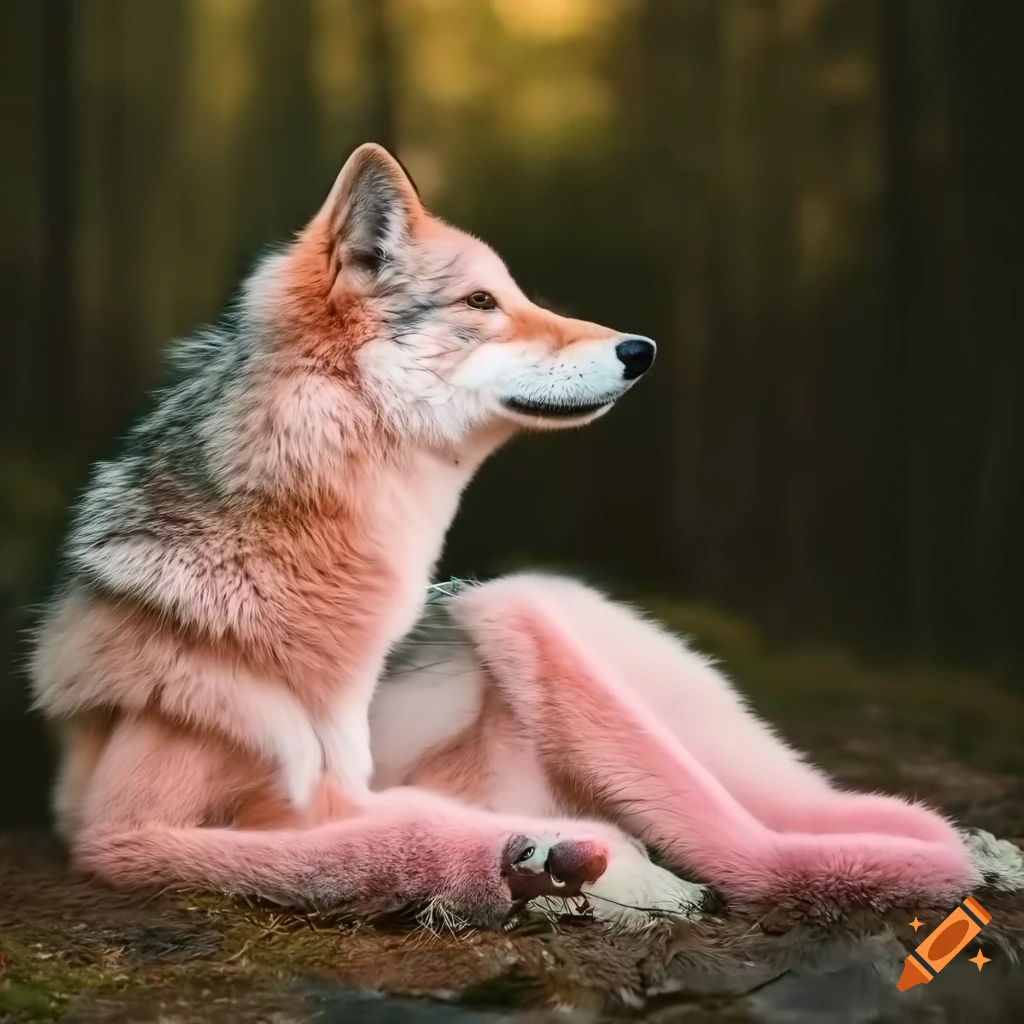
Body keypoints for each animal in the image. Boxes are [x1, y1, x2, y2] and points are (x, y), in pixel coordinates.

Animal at [30, 144, 1010, 931]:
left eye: (520, 294)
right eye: (481, 301)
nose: (642, 349)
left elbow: (379, 828)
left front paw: (562, 870)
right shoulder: (116, 832)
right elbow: (357, 840)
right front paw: (528, 866)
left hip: (527, 615)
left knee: (772, 819)